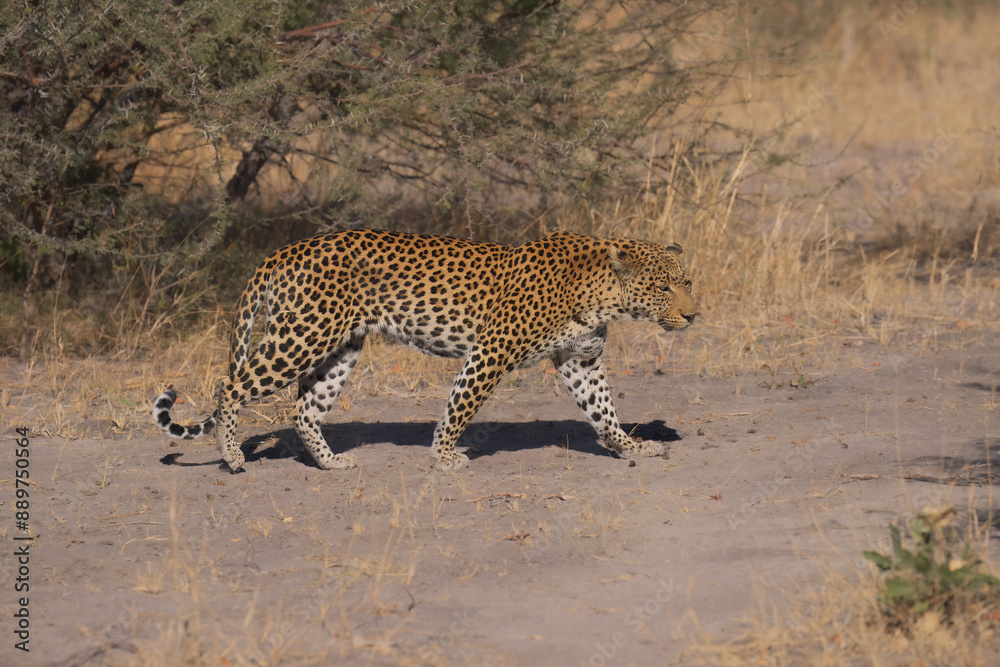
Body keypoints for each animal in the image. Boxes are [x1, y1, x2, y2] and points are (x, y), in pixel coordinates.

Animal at [153, 228, 696, 472]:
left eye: (686, 283)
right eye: (664, 288)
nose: (693, 315)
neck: (602, 295)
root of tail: (284, 251)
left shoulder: (580, 361)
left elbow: (603, 410)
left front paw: (630, 446)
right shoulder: (492, 351)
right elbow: (460, 404)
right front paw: (445, 455)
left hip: (339, 348)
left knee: (303, 409)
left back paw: (331, 463)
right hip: (302, 337)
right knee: (230, 385)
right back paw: (230, 455)